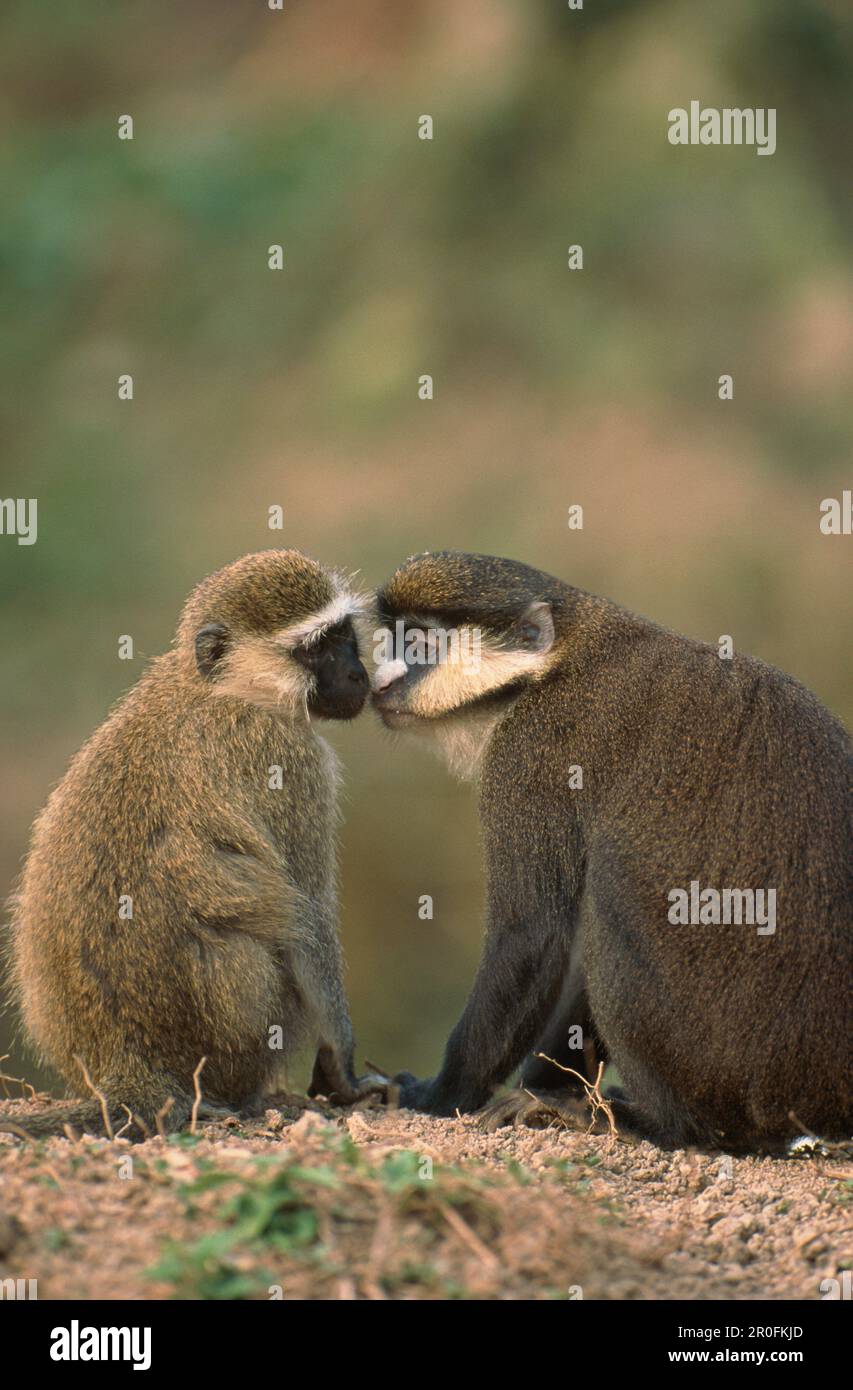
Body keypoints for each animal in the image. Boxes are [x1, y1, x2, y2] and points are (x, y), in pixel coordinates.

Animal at [1, 549, 379, 1141]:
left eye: (343, 635)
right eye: (315, 649)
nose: (358, 674)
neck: (223, 689)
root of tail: (125, 1070)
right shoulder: (295, 762)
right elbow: (311, 920)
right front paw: (343, 1067)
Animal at [370, 550, 852, 1151]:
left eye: (420, 642)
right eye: (392, 637)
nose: (380, 680)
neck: (554, 660)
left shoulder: (529, 754)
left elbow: (530, 936)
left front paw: (438, 1095)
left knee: (613, 896)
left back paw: (654, 1124)